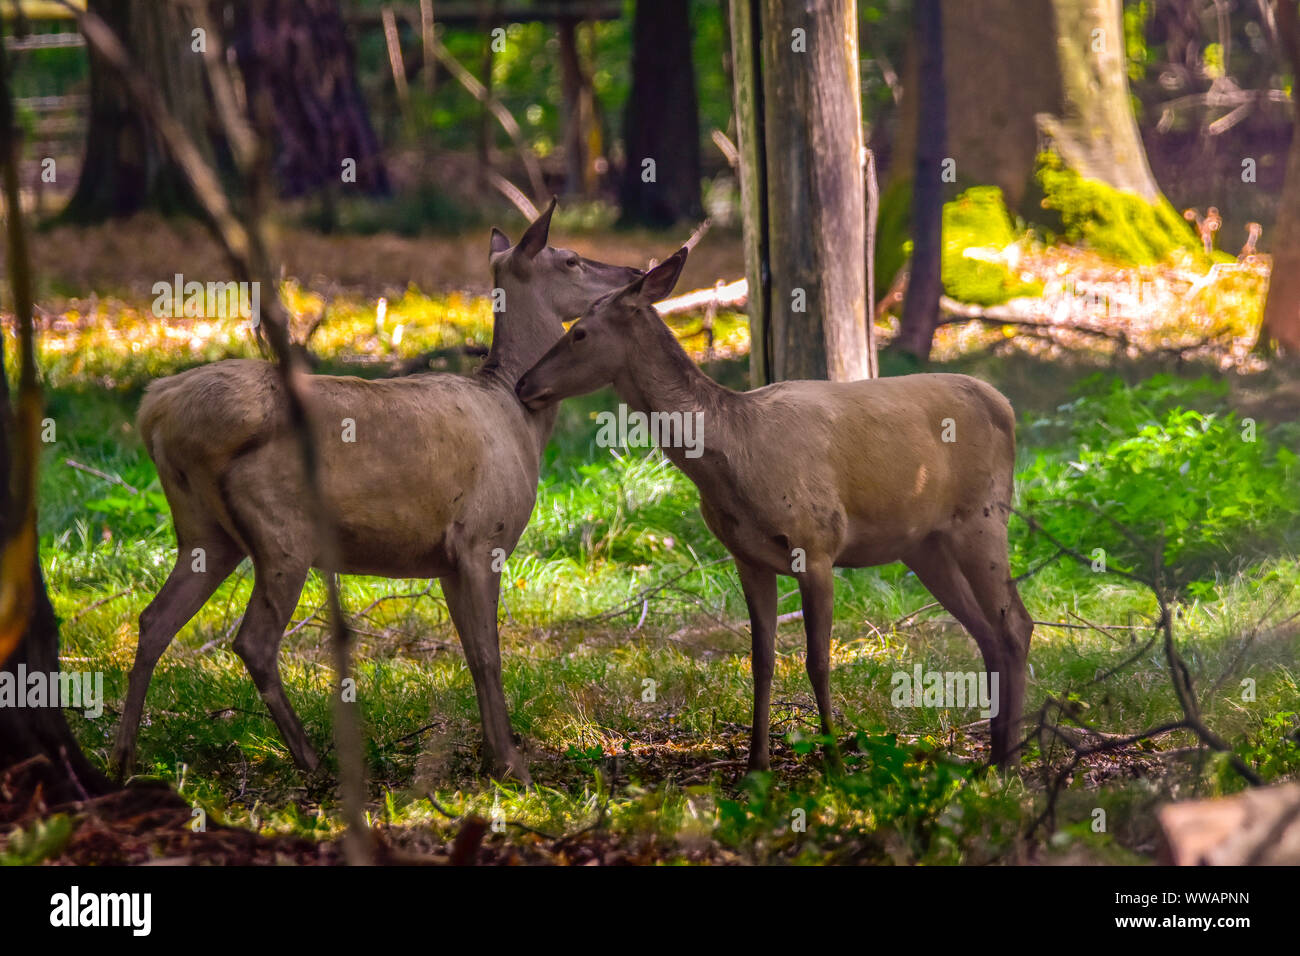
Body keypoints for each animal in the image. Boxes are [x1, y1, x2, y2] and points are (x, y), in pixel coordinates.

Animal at [110, 199, 644, 785]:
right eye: (570, 258)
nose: (633, 271)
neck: (519, 416)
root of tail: (155, 411)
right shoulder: (483, 535)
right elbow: (489, 653)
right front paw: (510, 764)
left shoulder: (448, 559)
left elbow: (471, 651)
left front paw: (489, 755)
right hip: (282, 530)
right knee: (252, 639)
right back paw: (312, 758)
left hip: (204, 529)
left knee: (154, 620)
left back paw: (123, 757)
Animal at [516, 248, 1034, 770]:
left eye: (579, 332)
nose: (522, 384)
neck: (735, 457)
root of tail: (1008, 408)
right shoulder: (748, 557)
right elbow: (761, 660)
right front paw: (756, 764)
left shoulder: (818, 545)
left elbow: (817, 660)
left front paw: (835, 761)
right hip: (926, 544)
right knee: (986, 631)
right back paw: (994, 753)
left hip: (983, 516)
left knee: (1016, 623)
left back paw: (1009, 760)